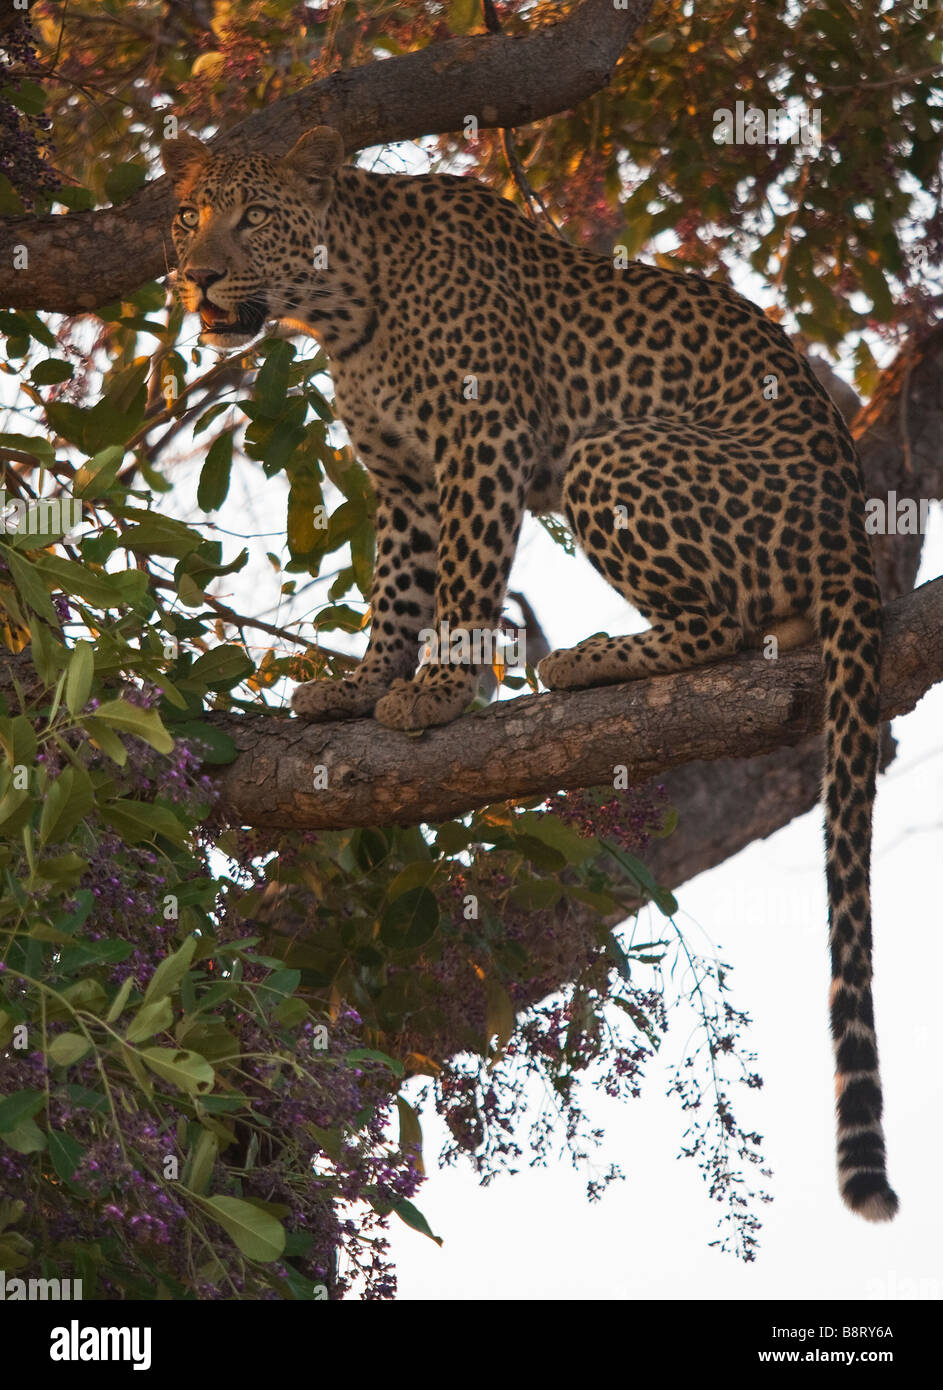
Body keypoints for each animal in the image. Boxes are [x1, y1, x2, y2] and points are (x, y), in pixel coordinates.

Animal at [163, 125, 897, 1222]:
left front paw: (436, 691)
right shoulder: (403, 480)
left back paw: (586, 661)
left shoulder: (481, 440)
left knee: (722, 625)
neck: (346, 307)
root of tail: (853, 529)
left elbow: (463, 577)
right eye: (187, 216)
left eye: (252, 217)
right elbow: (396, 587)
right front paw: (360, 684)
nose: (196, 275)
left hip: (610, 454)